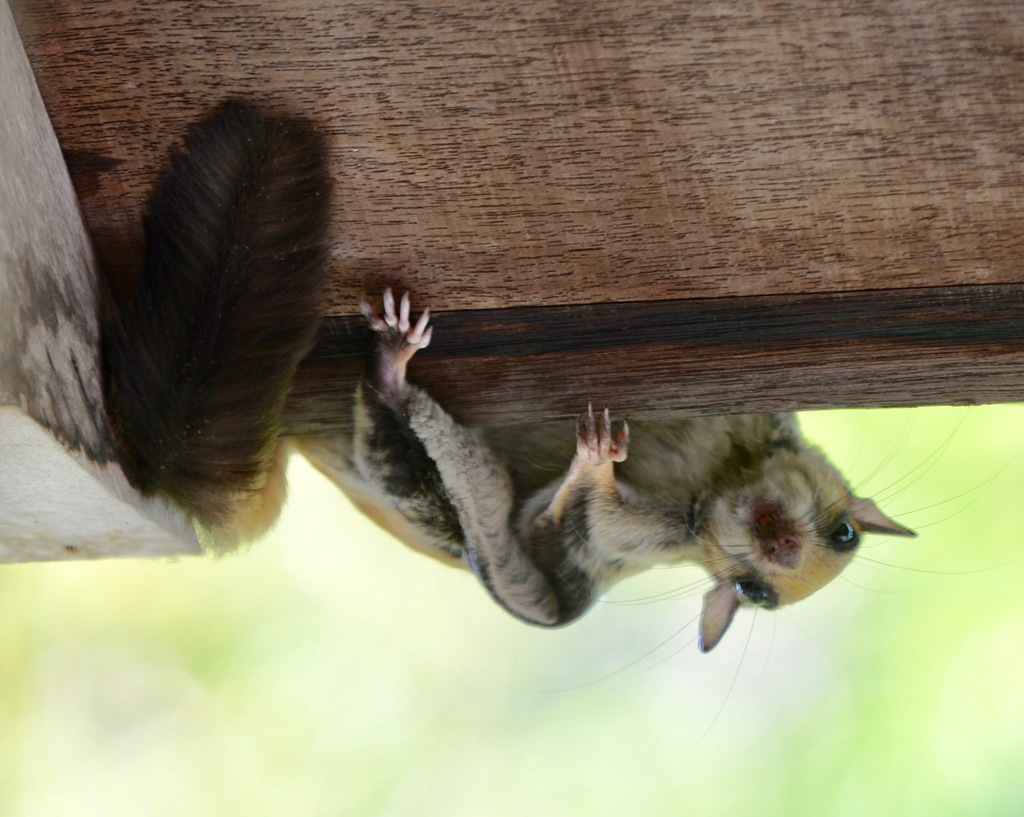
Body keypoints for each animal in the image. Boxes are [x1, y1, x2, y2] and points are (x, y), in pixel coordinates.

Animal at [105, 103, 913, 650]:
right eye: (845, 531)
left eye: (753, 592)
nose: (781, 550)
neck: (721, 475)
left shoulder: (632, 543)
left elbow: (566, 522)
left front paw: (593, 464)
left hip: (447, 494)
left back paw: (391, 373)